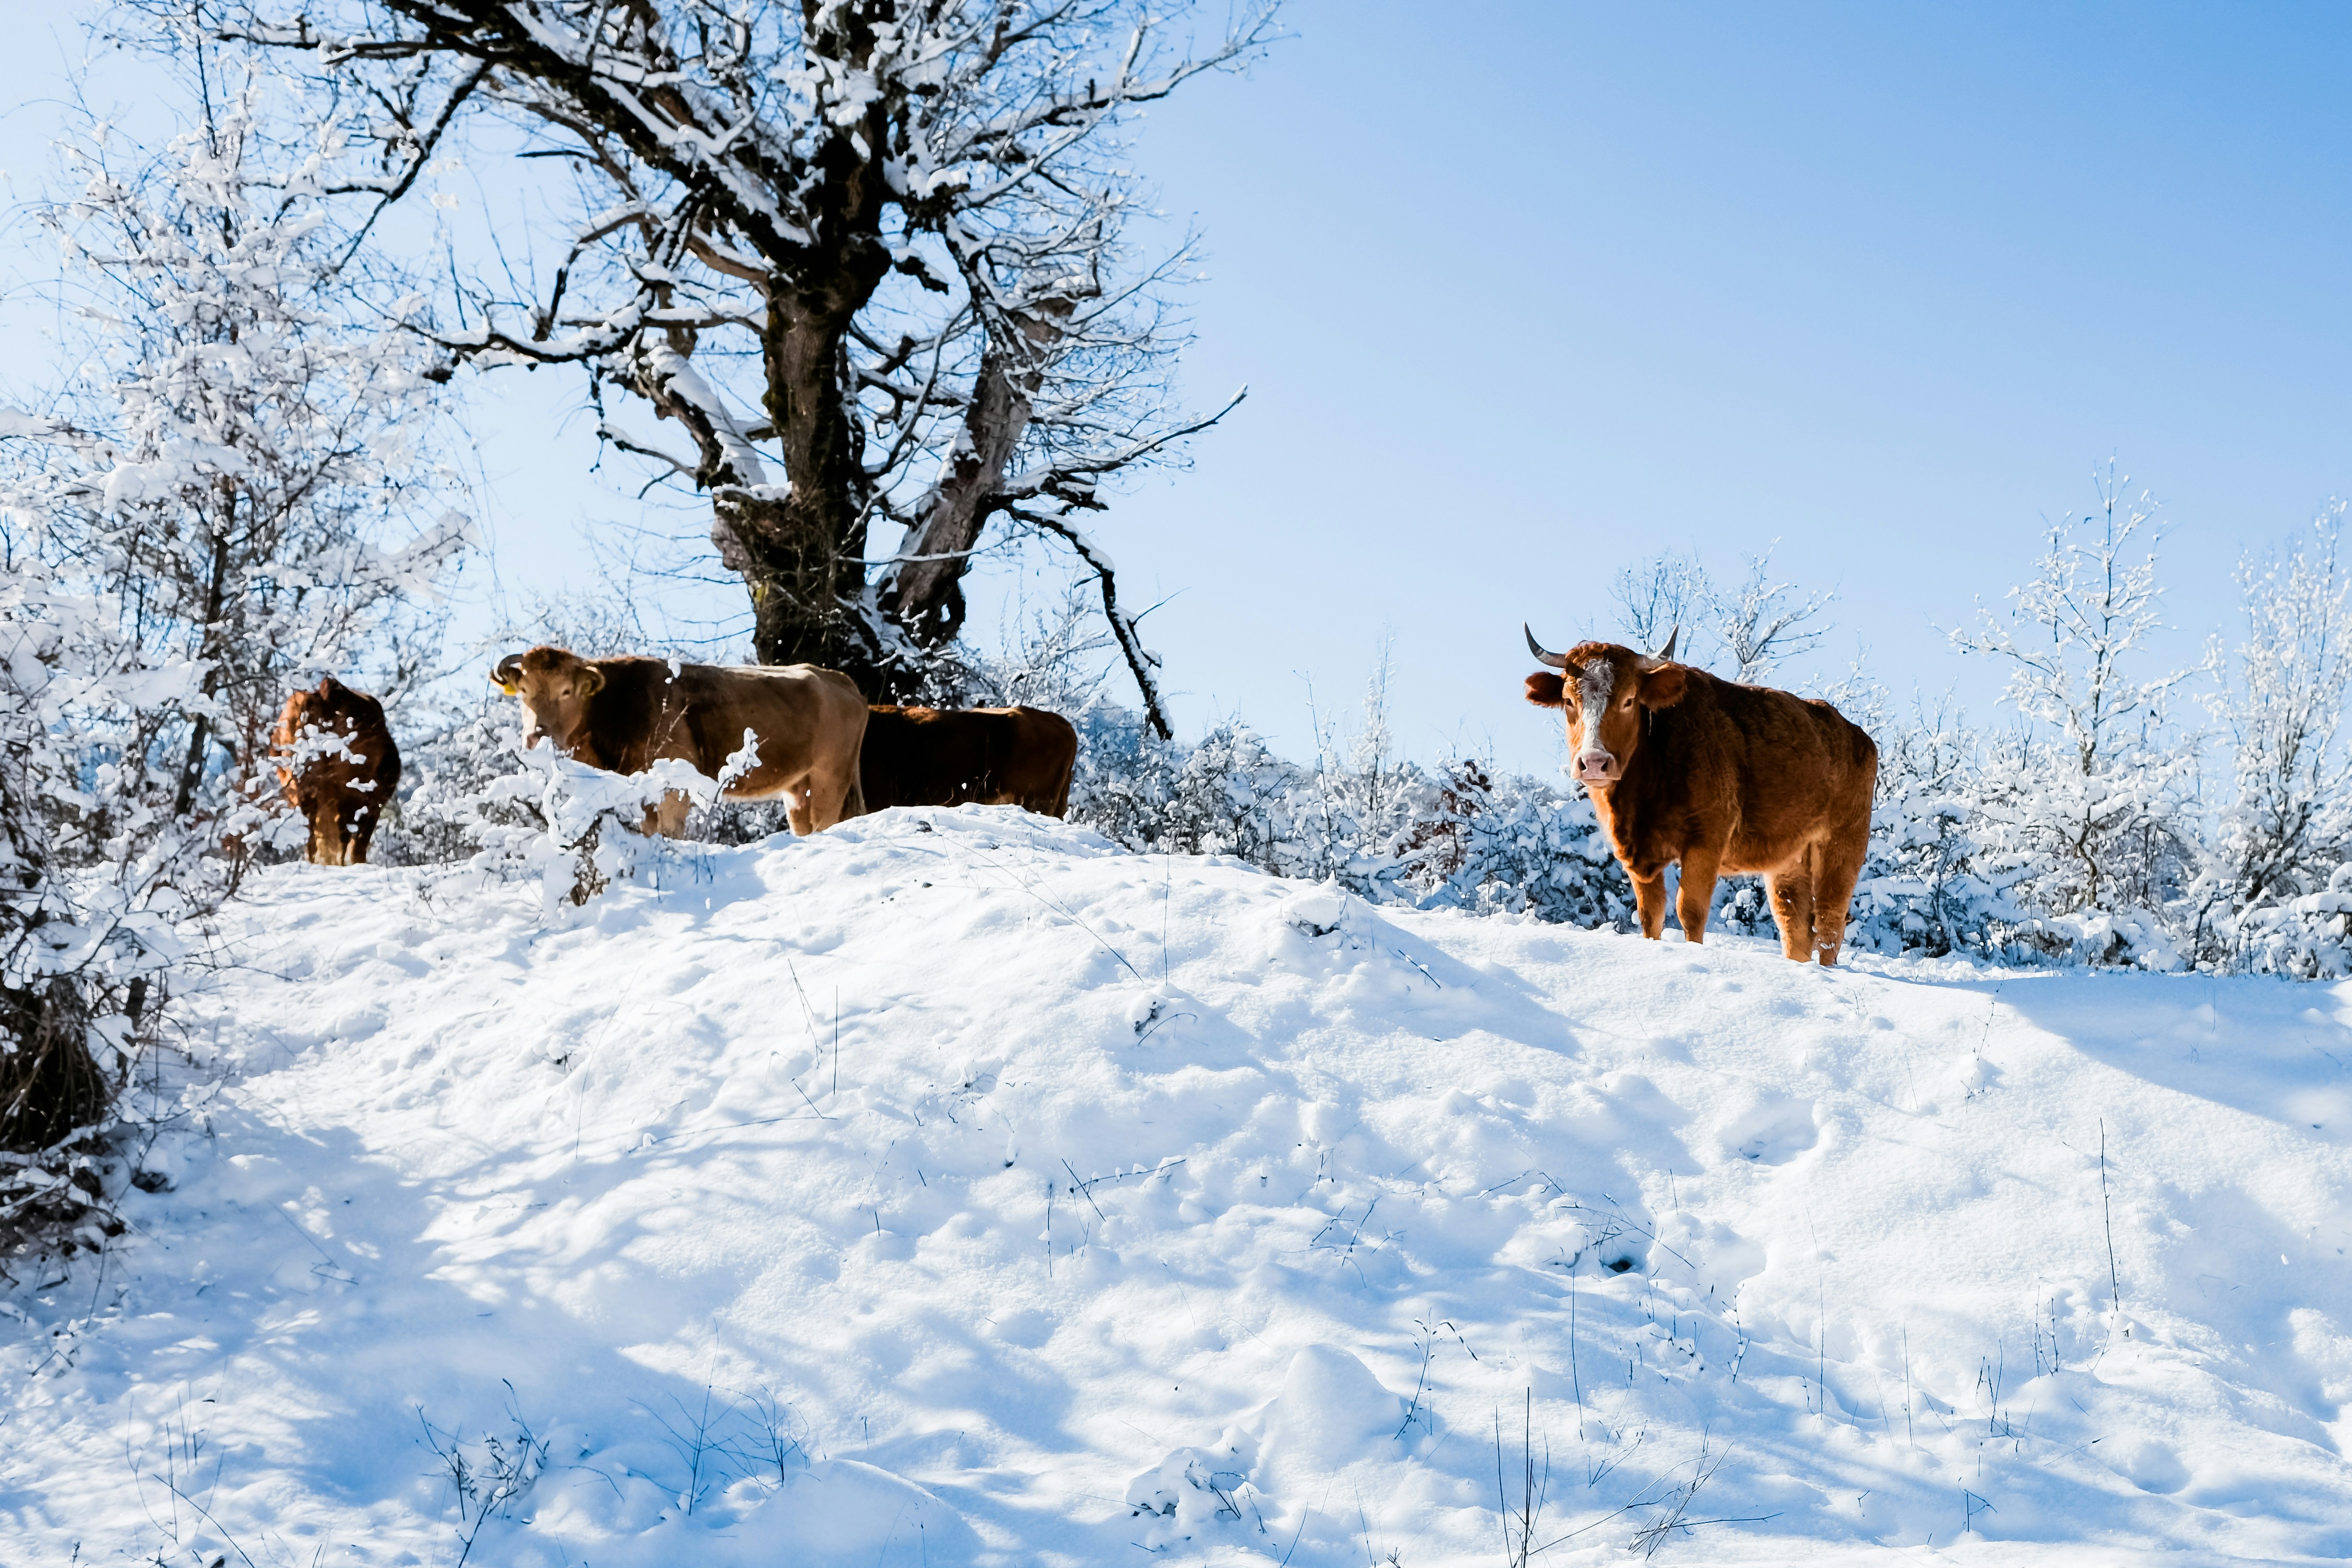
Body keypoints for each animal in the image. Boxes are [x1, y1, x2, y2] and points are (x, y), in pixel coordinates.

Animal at [491, 646, 868, 837]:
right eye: (523, 691)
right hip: (798, 789)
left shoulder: (675, 789)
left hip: (830, 778)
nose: (537, 735)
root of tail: (837, 678)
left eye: (567, 691)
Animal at [1522, 626, 1878, 965]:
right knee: (1796, 925)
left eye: (1629, 700)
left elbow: (1690, 911)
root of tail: (1855, 735)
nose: (1594, 761)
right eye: (1570, 700)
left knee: (1830, 921)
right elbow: (1650, 914)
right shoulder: (1636, 855)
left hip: (1842, 847)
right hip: (1791, 860)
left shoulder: (1706, 840)